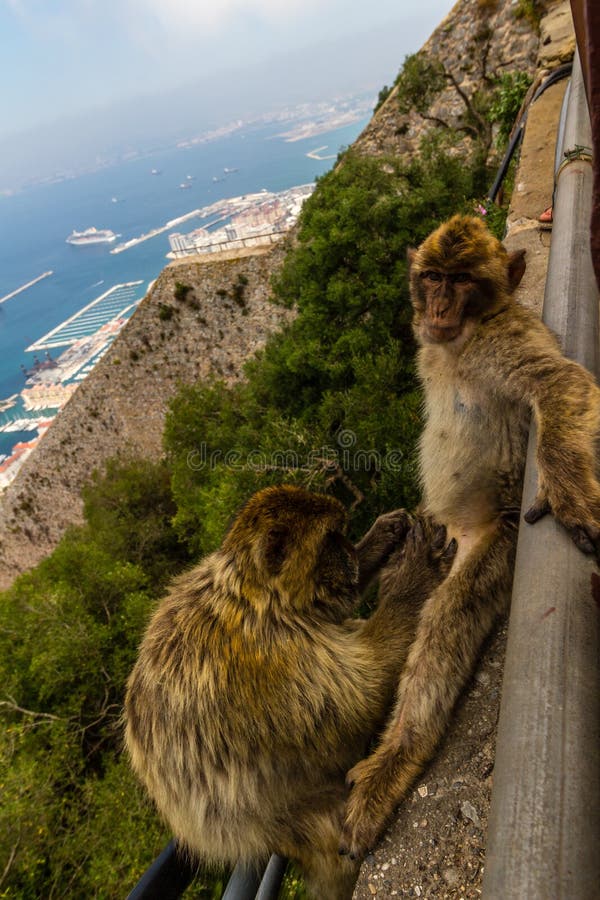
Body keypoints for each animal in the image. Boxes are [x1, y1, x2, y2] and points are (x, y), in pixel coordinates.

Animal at [124, 484, 456, 900]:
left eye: (341, 533)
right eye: (330, 540)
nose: (349, 555)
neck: (259, 598)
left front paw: (381, 537)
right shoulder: (272, 661)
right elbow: (361, 694)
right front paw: (413, 575)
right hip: (295, 826)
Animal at [339, 213, 600, 859]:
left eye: (461, 281)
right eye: (432, 277)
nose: (437, 306)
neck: (460, 343)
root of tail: (460, 534)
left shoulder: (505, 339)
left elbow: (558, 380)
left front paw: (567, 486)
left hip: (495, 543)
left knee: (446, 618)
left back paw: (399, 756)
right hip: (438, 530)